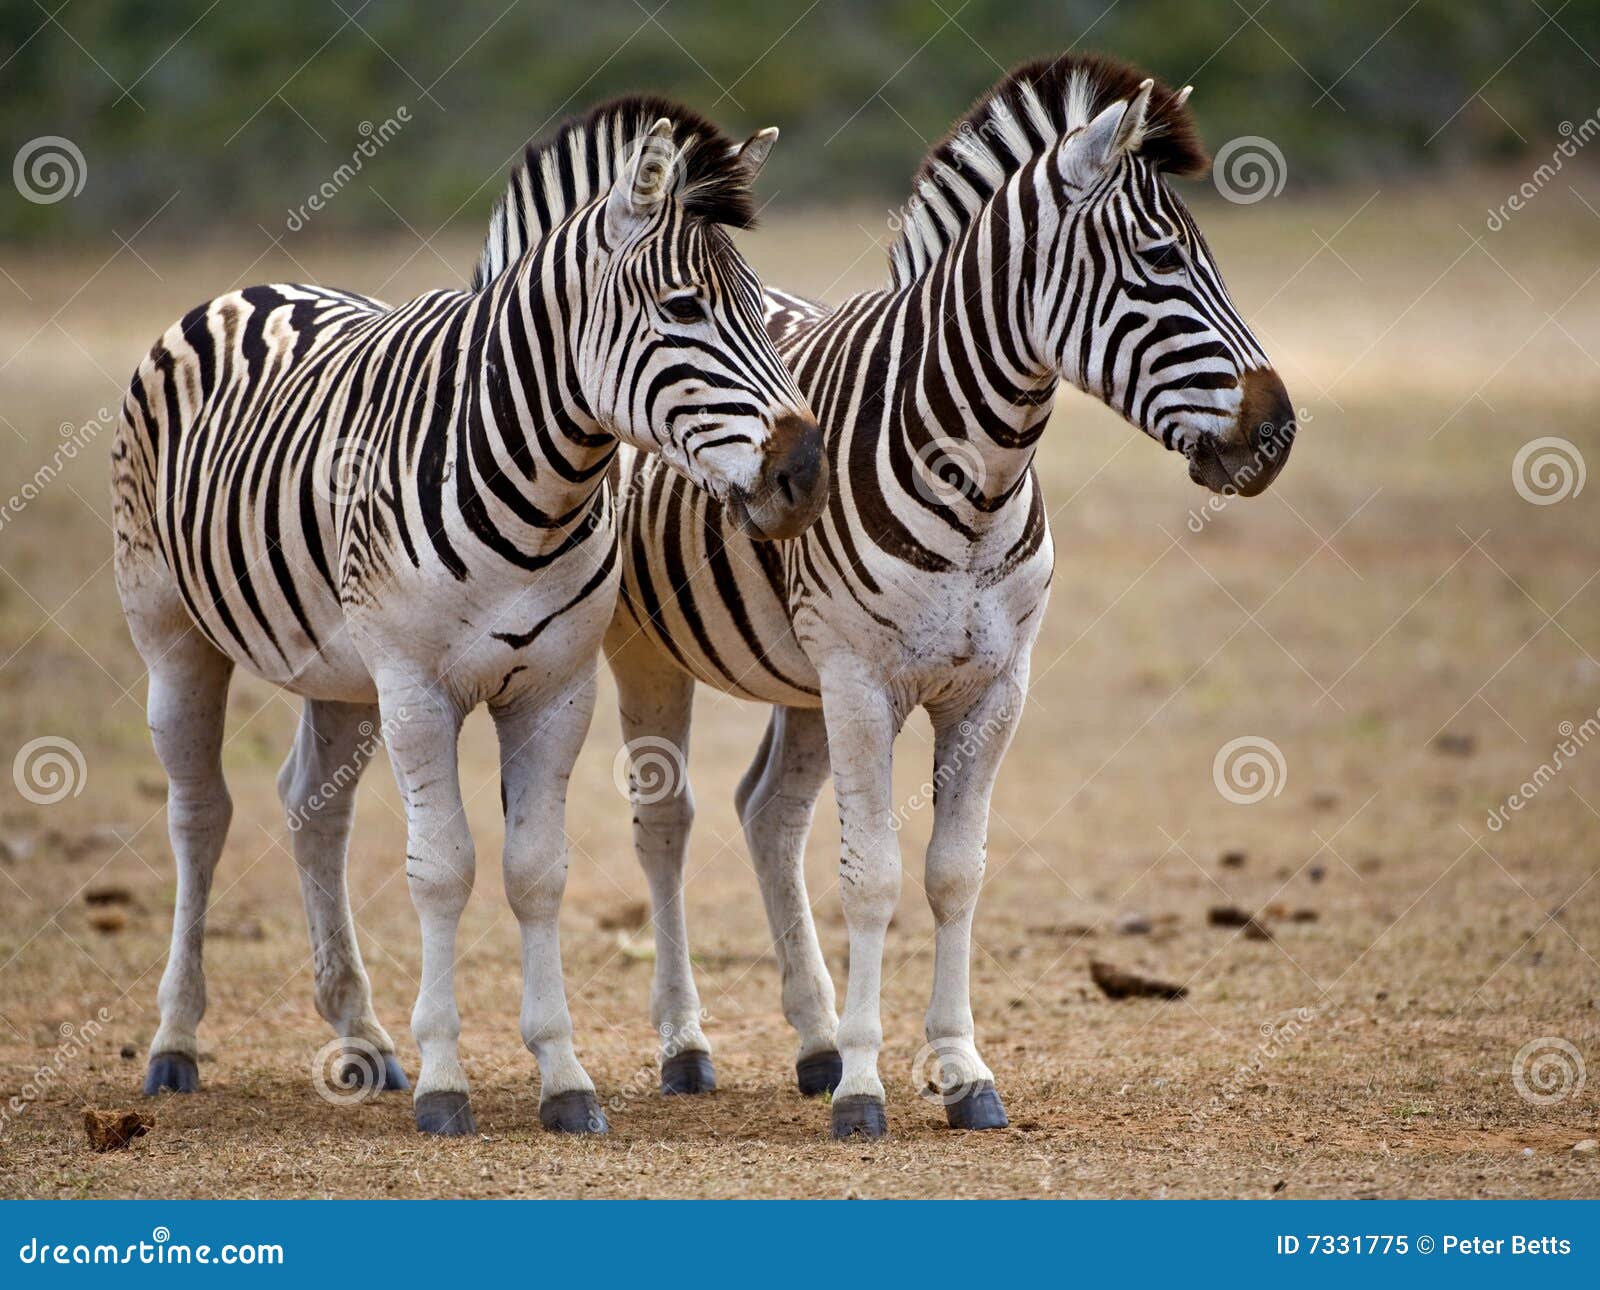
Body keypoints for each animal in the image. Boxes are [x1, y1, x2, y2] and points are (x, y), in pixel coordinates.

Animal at [110, 95, 824, 1138]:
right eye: (685, 309)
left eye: (760, 306)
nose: (806, 475)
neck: (540, 489)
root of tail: (254, 288)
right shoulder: (418, 688)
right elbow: (442, 866)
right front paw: (447, 1084)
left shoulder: (555, 688)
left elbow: (537, 870)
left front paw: (563, 1078)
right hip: (173, 636)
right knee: (200, 815)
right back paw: (174, 1044)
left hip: (339, 673)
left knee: (312, 810)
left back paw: (361, 1038)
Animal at [601, 53, 1297, 1138]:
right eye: (1156, 260)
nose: (1280, 432)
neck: (975, 473)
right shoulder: (861, 682)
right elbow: (874, 877)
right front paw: (865, 1089)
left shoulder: (992, 686)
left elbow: (953, 874)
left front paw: (960, 1070)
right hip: (653, 653)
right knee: (666, 826)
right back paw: (687, 1047)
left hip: (803, 680)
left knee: (767, 815)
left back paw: (814, 1039)